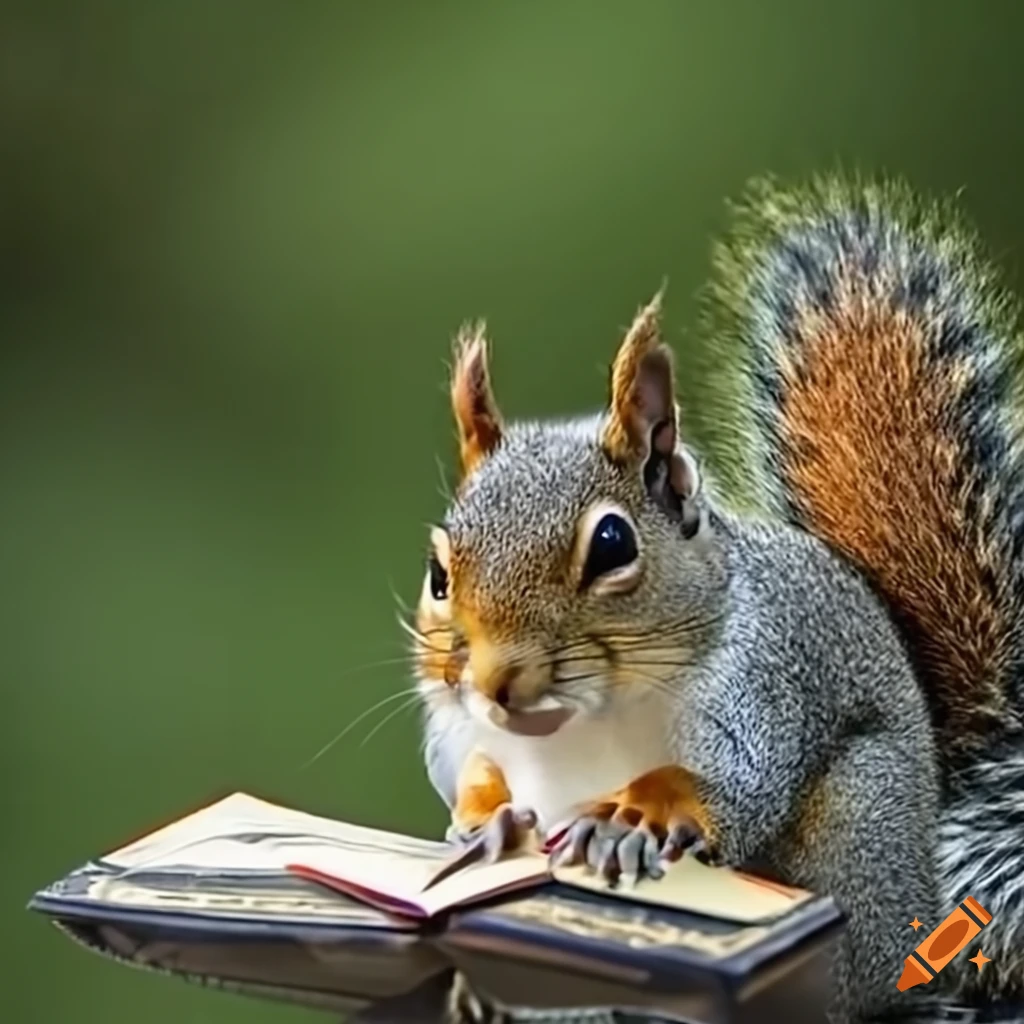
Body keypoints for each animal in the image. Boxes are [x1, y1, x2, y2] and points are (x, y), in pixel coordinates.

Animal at [409, 174, 1024, 1022]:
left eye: (612, 545)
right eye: (439, 574)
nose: (498, 681)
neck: (586, 719)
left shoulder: (760, 677)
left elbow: (738, 777)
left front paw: (637, 814)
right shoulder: (460, 721)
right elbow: (460, 763)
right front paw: (486, 819)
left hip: (858, 829)